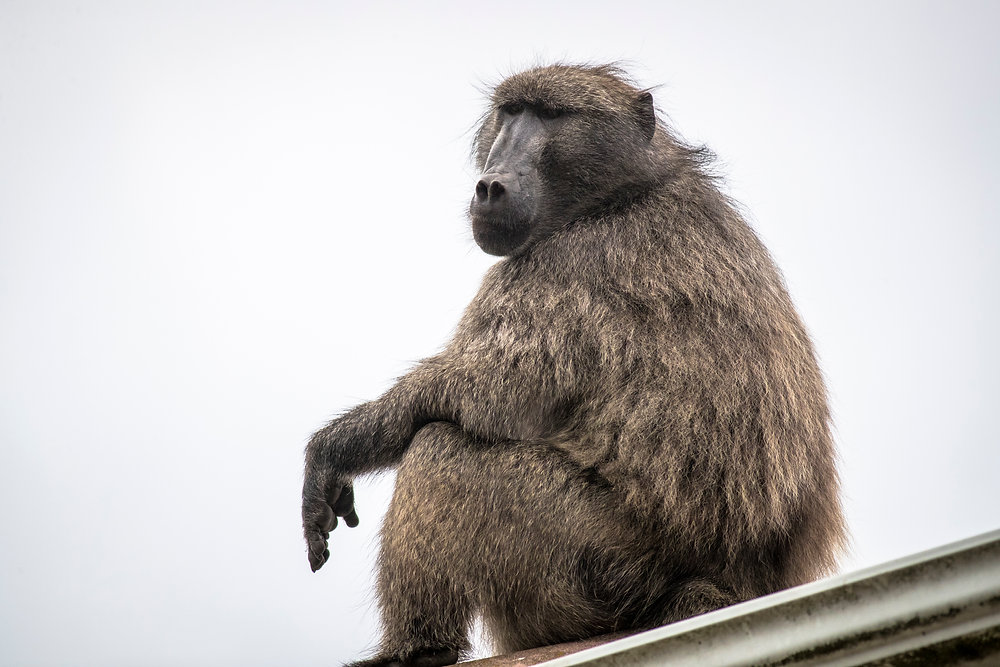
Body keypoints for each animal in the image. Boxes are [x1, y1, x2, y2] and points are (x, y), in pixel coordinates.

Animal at [302, 64, 846, 667]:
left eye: (552, 116)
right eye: (511, 111)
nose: (490, 186)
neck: (627, 191)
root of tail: (736, 586)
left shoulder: (562, 264)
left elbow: (483, 390)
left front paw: (334, 448)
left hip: (605, 564)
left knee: (439, 452)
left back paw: (416, 651)